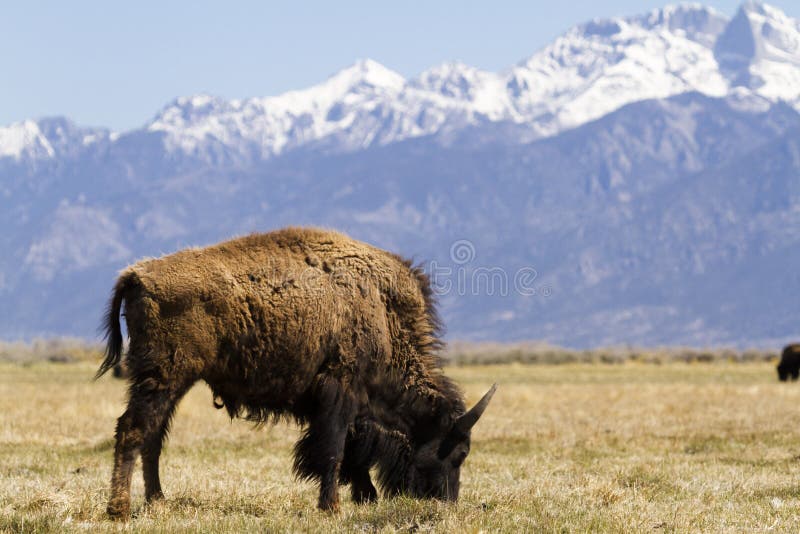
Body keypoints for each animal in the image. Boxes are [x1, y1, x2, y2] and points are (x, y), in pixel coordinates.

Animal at [96, 227, 496, 518]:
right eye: (458, 453)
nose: (445, 503)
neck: (382, 314)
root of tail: (137, 275)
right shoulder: (341, 390)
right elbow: (334, 450)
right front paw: (332, 507)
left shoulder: (346, 404)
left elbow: (350, 452)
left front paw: (363, 497)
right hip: (164, 377)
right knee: (132, 431)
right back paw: (119, 510)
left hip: (171, 382)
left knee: (153, 437)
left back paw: (157, 502)